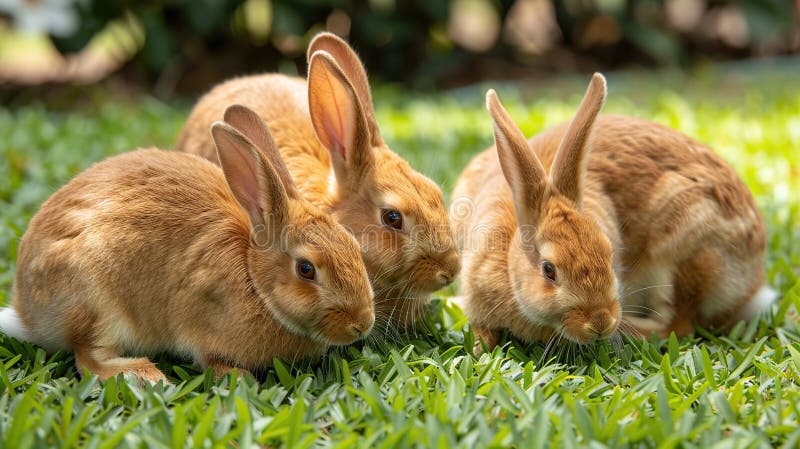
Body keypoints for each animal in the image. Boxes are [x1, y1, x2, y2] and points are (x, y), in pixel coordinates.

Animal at [0, 105, 375, 383]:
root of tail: (27, 314)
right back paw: (146, 376)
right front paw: (237, 377)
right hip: (98, 303)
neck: (253, 278)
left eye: (352, 244)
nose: (362, 324)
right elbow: (207, 358)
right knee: (88, 358)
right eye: (306, 269)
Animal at [451, 73, 770, 350]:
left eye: (609, 253)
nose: (601, 323)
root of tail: (752, 282)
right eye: (548, 270)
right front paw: (480, 347)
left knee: (678, 325)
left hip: (685, 252)